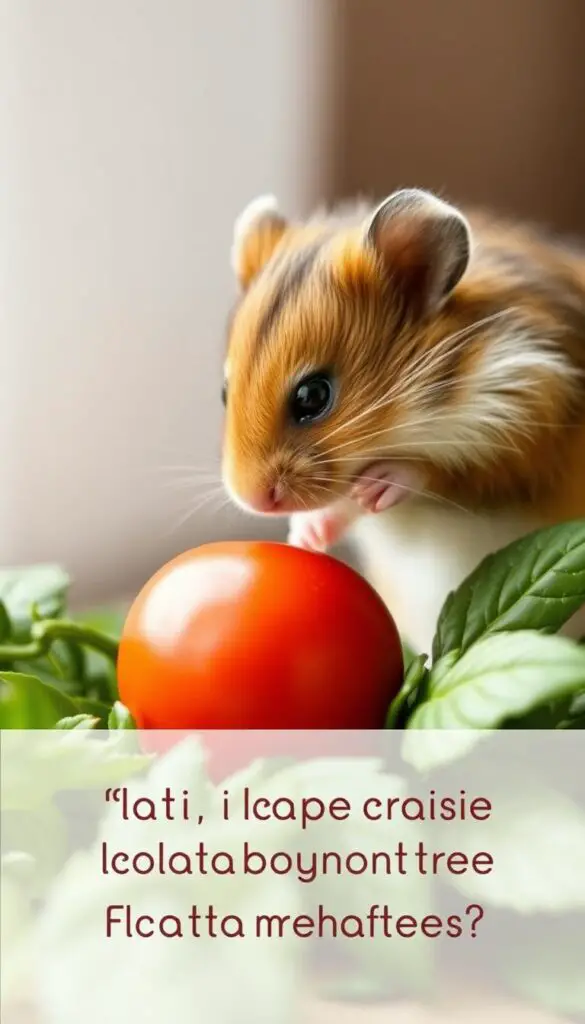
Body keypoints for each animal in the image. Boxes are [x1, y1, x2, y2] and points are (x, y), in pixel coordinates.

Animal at [221, 188, 585, 652]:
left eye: (313, 396)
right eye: (224, 391)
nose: (251, 500)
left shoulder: (535, 427)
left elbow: (437, 472)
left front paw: (378, 485)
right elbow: (346, 507)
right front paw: (306, 536)